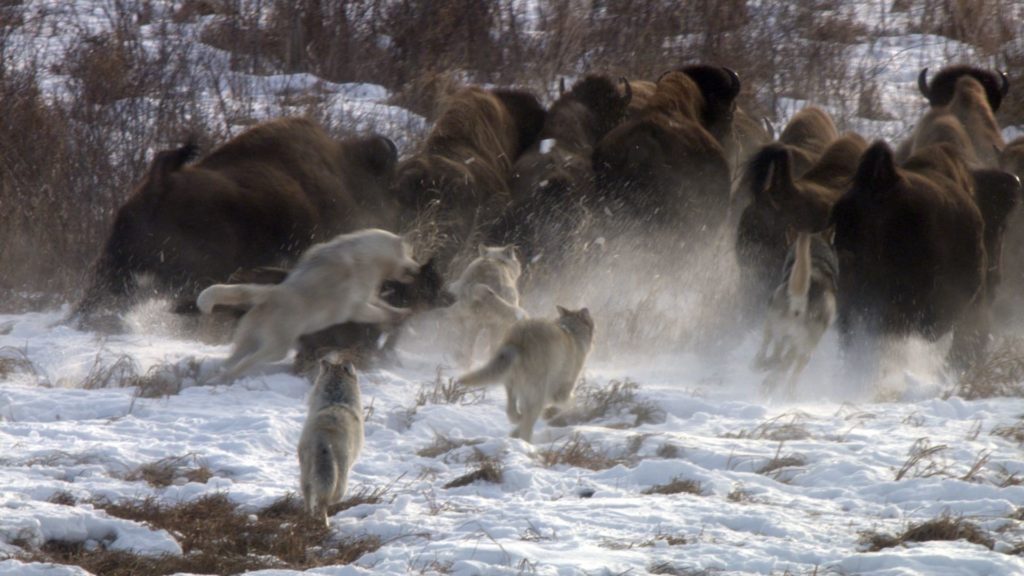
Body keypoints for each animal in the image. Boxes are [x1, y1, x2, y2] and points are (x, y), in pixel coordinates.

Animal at [197, 228, 419, 381]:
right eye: (409, 253)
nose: (418, 268)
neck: (366, 258)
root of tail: (270, 294)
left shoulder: (370, 299)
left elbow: (386, 307)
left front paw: (402, 313)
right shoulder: (357, 308)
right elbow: (380, 314)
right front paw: (392, 320)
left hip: (248, 343)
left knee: (231, 360)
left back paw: (210, 377)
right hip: (275, 350)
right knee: (241, 365)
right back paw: (220, 379)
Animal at [297, 355, 364, 527]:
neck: (335, 399)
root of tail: (322, 438)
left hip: (305, 472)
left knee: (308, 495)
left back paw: (308, 517)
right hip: (341, 476)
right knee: (325, 501)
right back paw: (324, 523)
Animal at [457, 306, 595, 443]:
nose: (586, 308)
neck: (573, 331)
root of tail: (521, 337)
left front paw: (514, 432)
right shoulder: (560, 392)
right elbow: (569, 400)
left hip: (511, 384)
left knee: (511, 412)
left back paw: (518, 424)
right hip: (536, 392)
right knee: (527, 423)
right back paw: (526, 444)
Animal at [752, 230, 837, 398]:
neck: (816, 259)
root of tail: (799, 304)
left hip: (774, 325)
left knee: (774, 355)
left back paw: (764, 370)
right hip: (802, 346)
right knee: (782, 364)